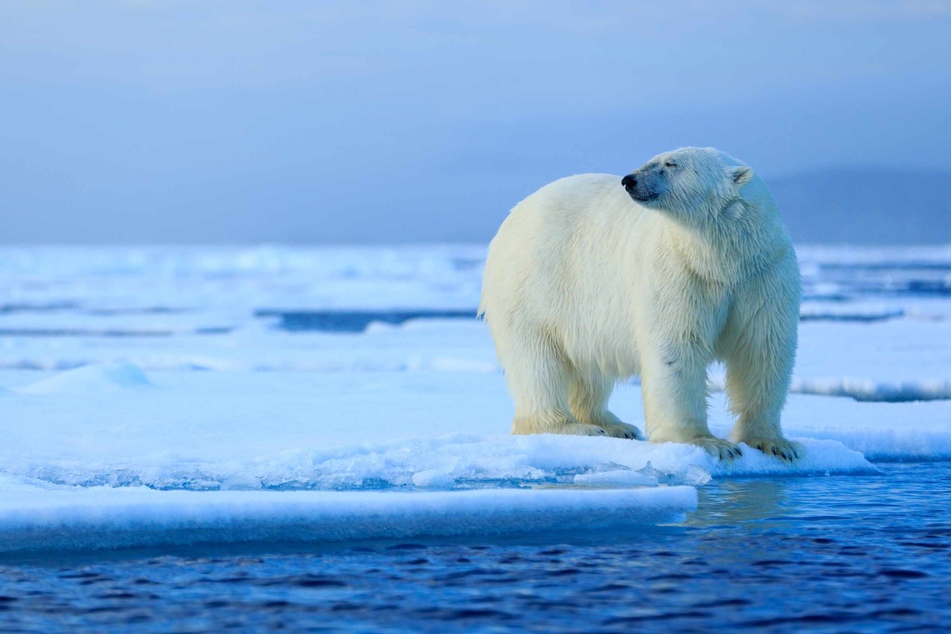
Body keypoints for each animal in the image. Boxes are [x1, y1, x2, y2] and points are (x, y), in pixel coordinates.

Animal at [479, 147, 802, 461]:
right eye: (653, 159)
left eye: (671, 164)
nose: (629, 180)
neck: (721, 260)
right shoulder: (679, 270)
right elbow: (677, 346)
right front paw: (708, 443)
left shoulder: (763, 274)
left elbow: (762, 348)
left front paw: (773, 443)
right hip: (532, 287)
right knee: (536, 361)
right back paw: (571, 426)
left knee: (588, 367)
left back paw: (613, 424)